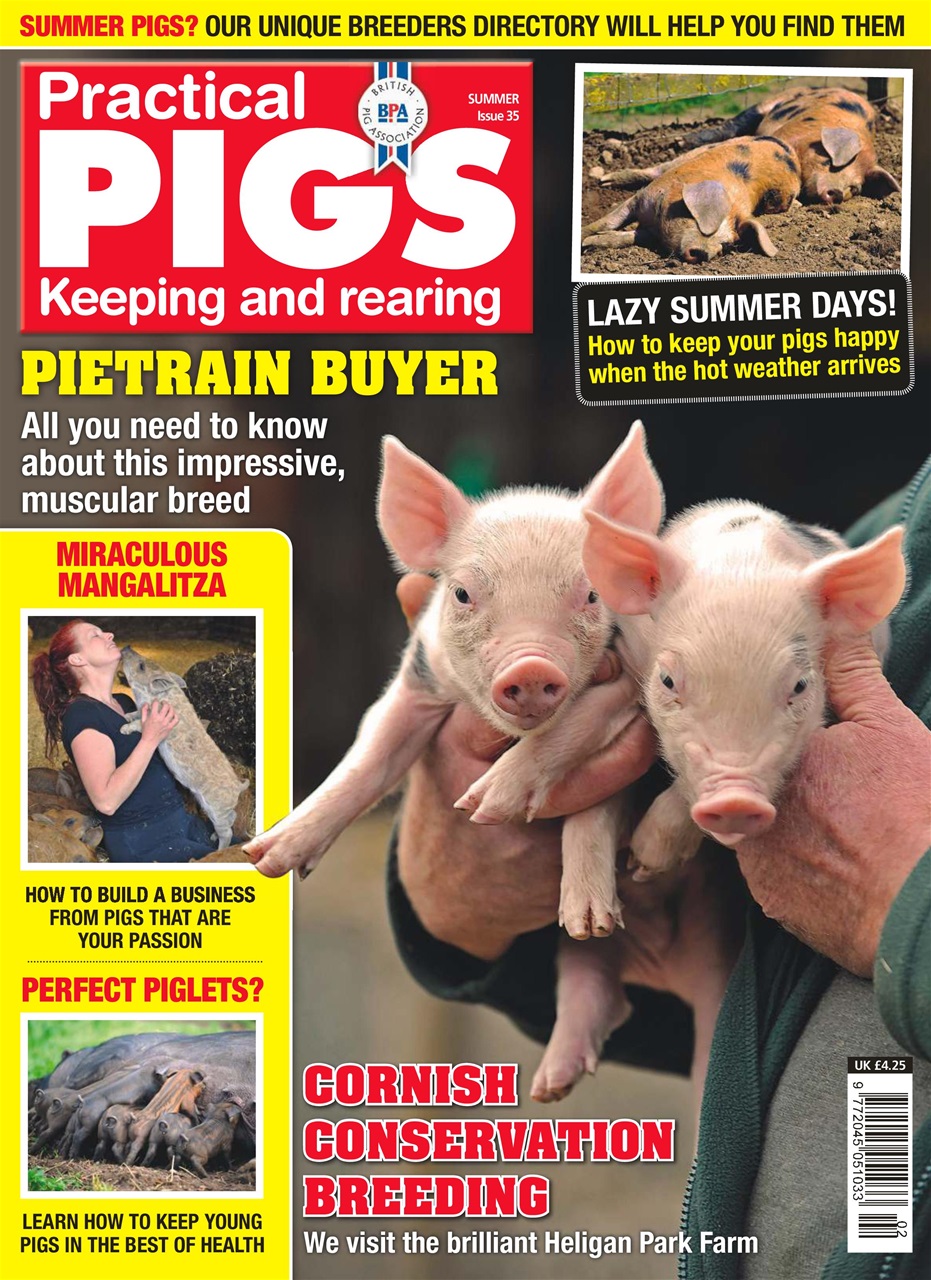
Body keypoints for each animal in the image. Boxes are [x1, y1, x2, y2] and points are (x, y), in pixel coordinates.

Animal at [582, 137, 801, 262]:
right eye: (699, 224)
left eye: (726, 244)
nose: (705, 254)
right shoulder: (640, 199)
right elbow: (608, 221)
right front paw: (584, 239)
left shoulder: (653, 232)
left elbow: (631, 236)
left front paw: (589, 244)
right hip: (690, 154)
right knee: (655, 169)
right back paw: (604, 181)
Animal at [583, 496, 907, 876]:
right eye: (667, 680)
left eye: (800, 686)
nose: (735, 799)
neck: (744, 563)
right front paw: (640, 868)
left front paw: (645, 863)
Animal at [683, 86, 900, 206]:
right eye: (830, 161)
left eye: (855, 188)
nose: (837, 192)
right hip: (776, 99)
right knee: (738, 120)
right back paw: (683, 141)